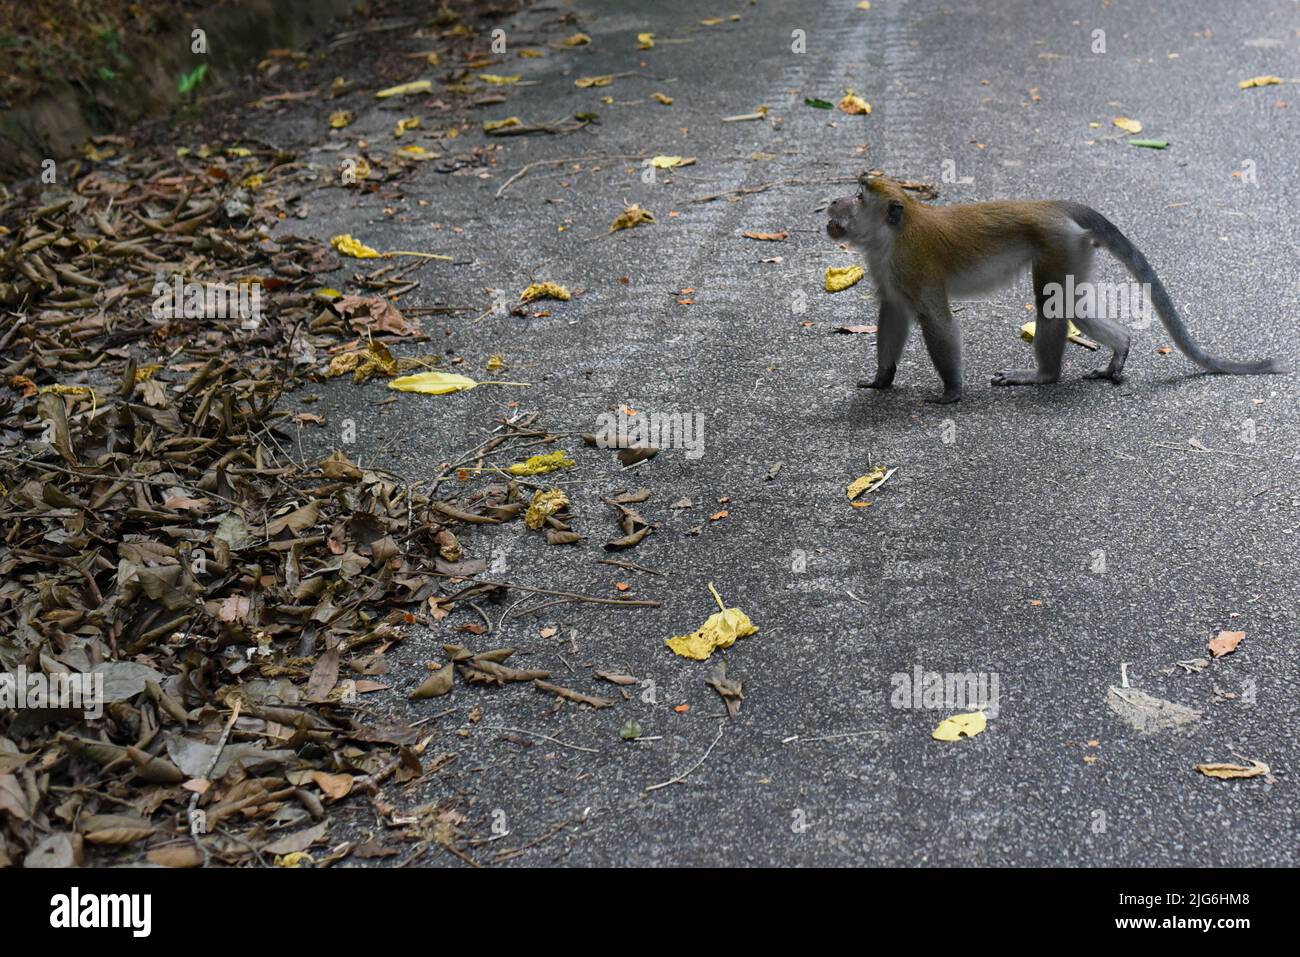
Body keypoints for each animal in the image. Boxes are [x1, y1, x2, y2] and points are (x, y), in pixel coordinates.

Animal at [825, 174, 1285, 404]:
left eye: (858, 196)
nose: (833, 201)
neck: (891, 236)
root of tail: (1052, 206)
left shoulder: (913, 264)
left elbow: (936, 321)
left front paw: (951, 392)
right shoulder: (888, 269)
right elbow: (892, 313)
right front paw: (882, 379)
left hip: (1057, 243)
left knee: (1051, 303)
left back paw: (1043, 376)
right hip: (1073, 248)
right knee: (1074, 307)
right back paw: (1120, 348)